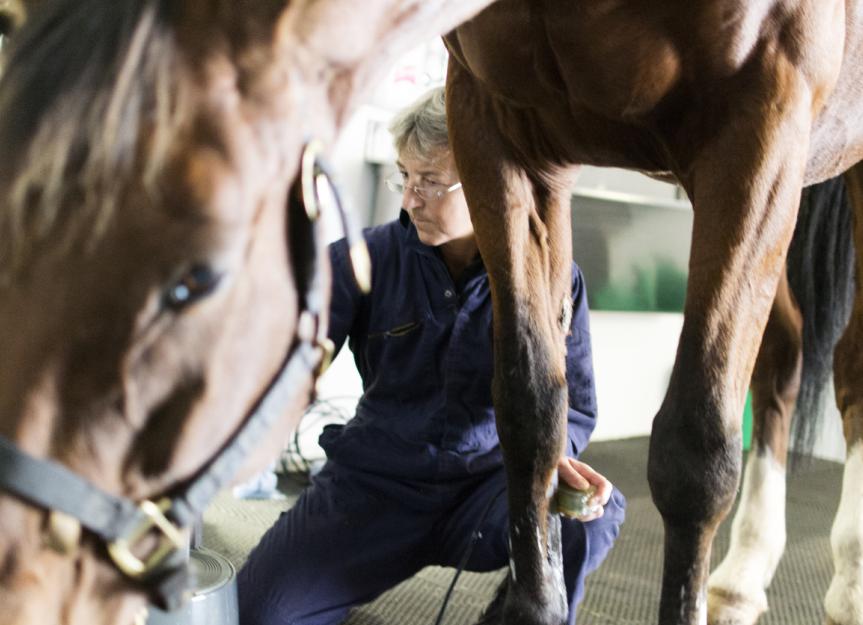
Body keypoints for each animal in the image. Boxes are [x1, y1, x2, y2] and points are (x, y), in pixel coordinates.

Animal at [443, 2, 863, 624]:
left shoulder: (759, 129)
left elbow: (696, 450)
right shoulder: (495, 126)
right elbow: (531, 404)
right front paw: (533, 606)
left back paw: (851, 580)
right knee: (784, 356)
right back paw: (742, 576)